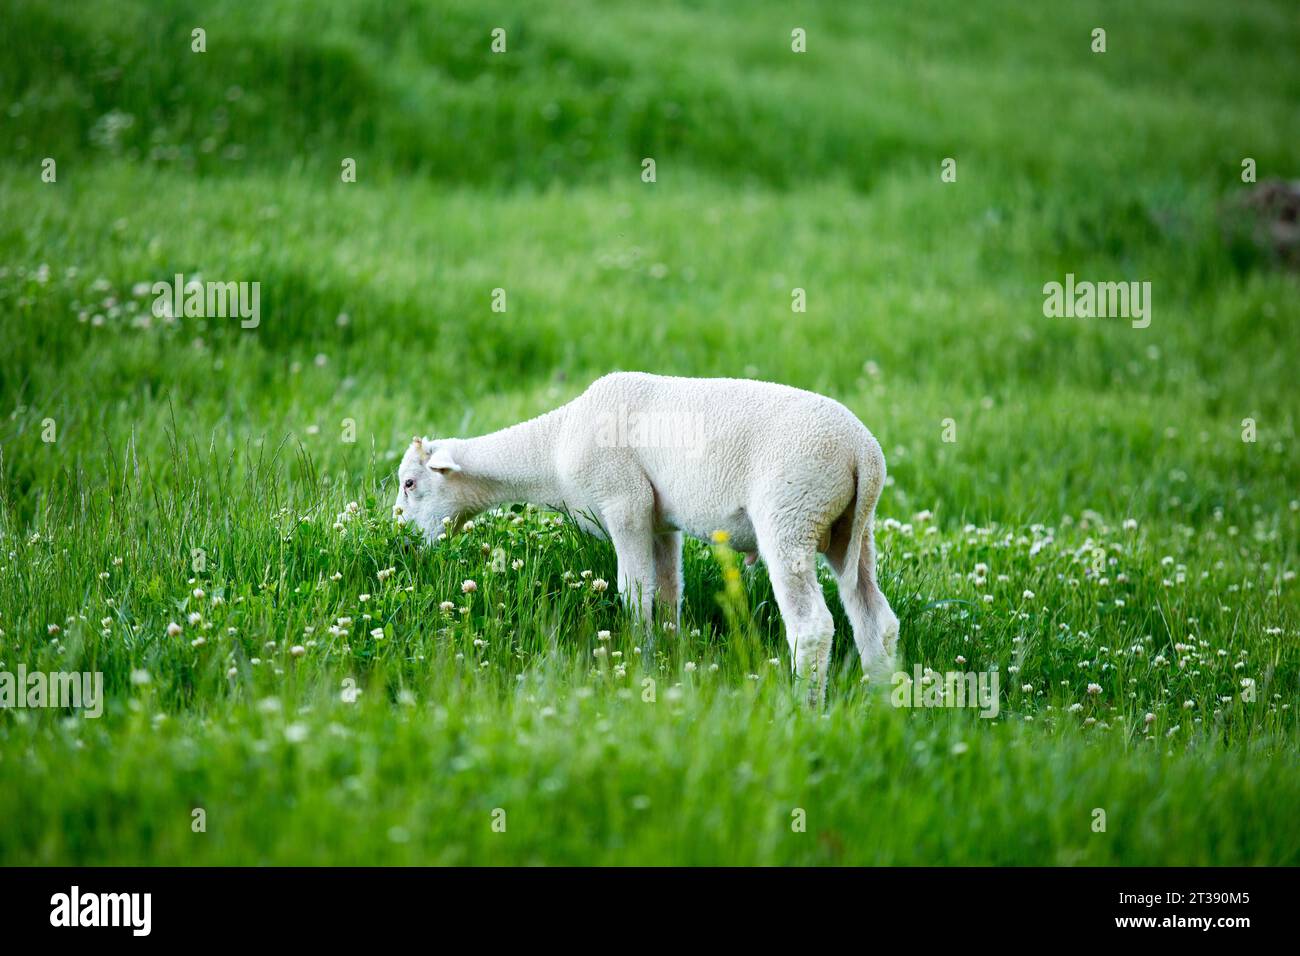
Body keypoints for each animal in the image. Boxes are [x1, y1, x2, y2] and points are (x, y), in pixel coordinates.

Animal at [394, 372, 899, 705]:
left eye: (410, 484)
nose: (404, 545)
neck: (550, 448)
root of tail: (864, 453)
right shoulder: (661, 521)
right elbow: (668, 594)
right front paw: (670, 660)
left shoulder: (625, 503)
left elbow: (633, 592)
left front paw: (638, 662)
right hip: (852, 532)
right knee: (876, 618)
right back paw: (882, 701)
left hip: (791, 515)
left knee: (811, 626)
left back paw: (803, 707)